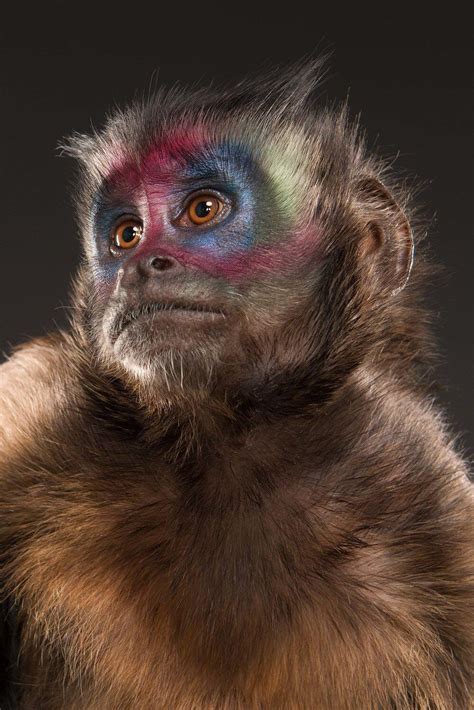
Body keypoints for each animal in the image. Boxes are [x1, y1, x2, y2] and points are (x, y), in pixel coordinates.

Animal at [0, 60, 472, 710]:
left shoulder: (431, 501)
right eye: (126, 234)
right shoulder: (29, 409)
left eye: (202, 210)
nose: (137, 268)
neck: (226, 446)